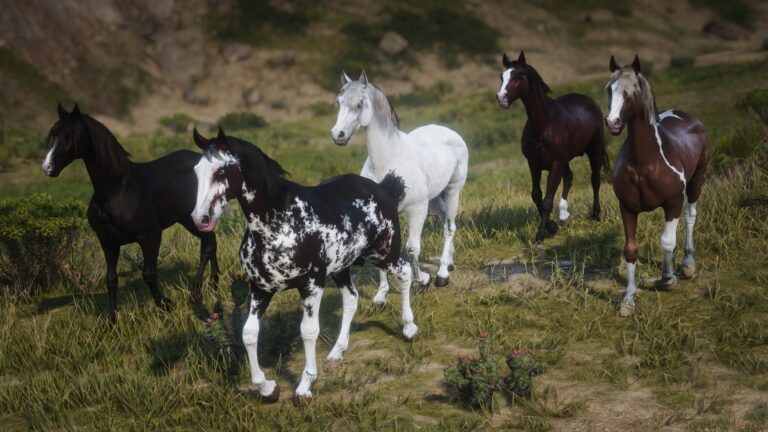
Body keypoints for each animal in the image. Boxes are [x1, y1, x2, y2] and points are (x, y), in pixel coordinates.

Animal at [42, 103, 219, 322]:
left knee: (208, 246)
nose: (47, 167)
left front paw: (166, 304)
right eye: (53, 134)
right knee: (210, 241)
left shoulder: (150, 237)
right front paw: (112, 320)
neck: (117, 190)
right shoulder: (108, 242)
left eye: (69, 135)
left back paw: (196, 290)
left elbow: (149, 274)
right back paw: (212, 285)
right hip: (187, 218)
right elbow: (111, 279)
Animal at [190, 128, 418, 405]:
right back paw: (337, 351)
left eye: (221, 171)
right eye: (196, 170)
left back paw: (409, 329)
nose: (200, 219)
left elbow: (308, 331)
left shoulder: (311, 285)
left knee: (405, 272)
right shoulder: (261, 288)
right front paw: (268, 388)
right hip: (341, 268)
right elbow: (249, 333)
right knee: (351, 298)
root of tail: (383, 188)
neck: (280, 222)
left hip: (384, 254)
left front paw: (305, 387)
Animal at [331, 71, 469, 295]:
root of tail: (449, 132)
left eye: (359, 103)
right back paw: (448, 263)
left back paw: (442, 275)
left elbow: (413, 248)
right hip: (434, 199)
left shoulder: (417, 210)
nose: (338, 135)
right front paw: (381, 293)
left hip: (452, 191)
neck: (388, 162)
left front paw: (422, 279)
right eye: (338, 101)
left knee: (449, 228)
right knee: (444, 222)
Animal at [496, 50, 607, 252]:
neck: (545, 124)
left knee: (595, 180)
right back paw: (564, 217)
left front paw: (539, 239)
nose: (501, 98)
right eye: (502, 76)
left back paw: (595, 215)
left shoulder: (556, 163)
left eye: (517, 76)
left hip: (593, 151)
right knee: (569, 178)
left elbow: (547, 201)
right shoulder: (534, 164)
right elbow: (536, 195)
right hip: (566, 160)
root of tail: (588, 100)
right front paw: (552, 226)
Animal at [605, 55, 708, 317]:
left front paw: (668, 279)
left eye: (631, 92)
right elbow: (631, 249)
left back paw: (687, 265)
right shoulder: (627, 208)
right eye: (609, 89)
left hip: (696, 182)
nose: (612, 123)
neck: (645, 162)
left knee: (690, 217)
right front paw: (628, 300)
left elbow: (667, 242)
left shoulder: (673, 202)